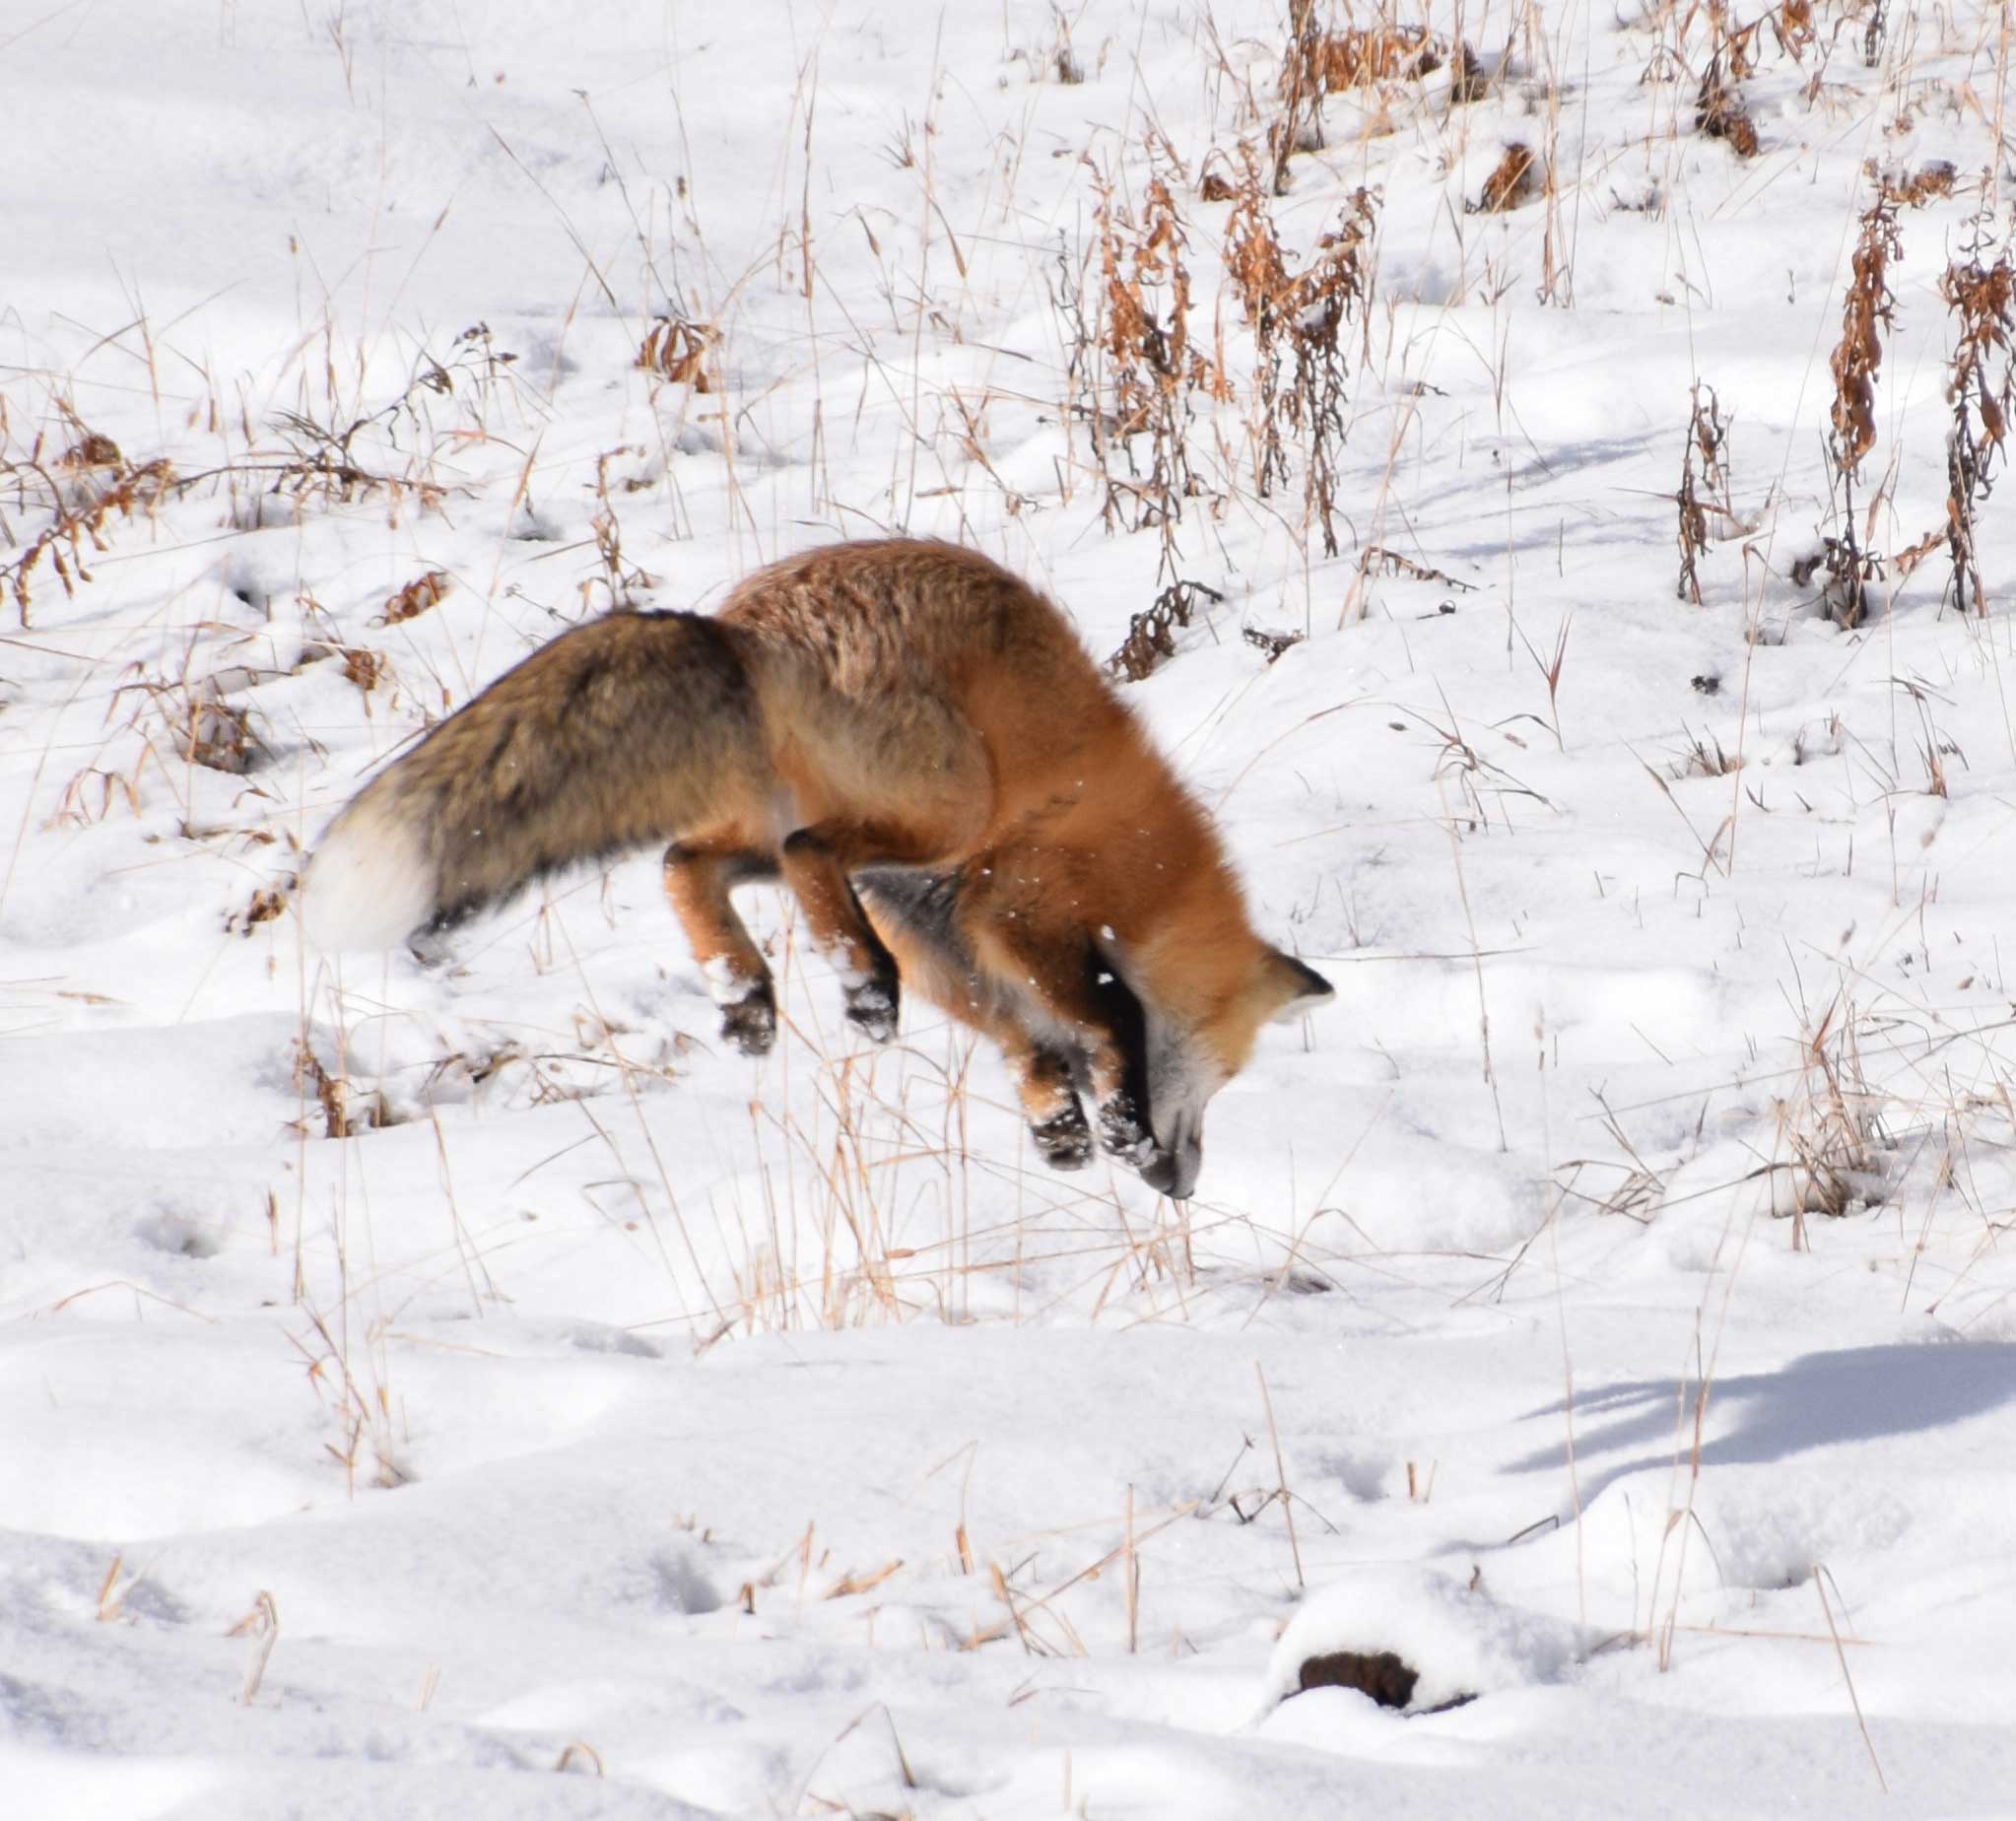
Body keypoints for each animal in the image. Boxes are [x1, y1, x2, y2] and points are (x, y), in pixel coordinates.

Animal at [301, 538, 1332, 1199]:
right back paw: (857, 981)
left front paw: (1061, 1129)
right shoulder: (1013, 911)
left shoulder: (942, 932)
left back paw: (750, 990)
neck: (1149, 875)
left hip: (779, 830)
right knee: (807, 854)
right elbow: (1105, 1019)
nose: (1184, 1186)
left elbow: (1024, 1042)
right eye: (1222, 1080)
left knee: (686, 864)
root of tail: (741, 628)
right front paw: (1112, 1122)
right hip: (945, 807)